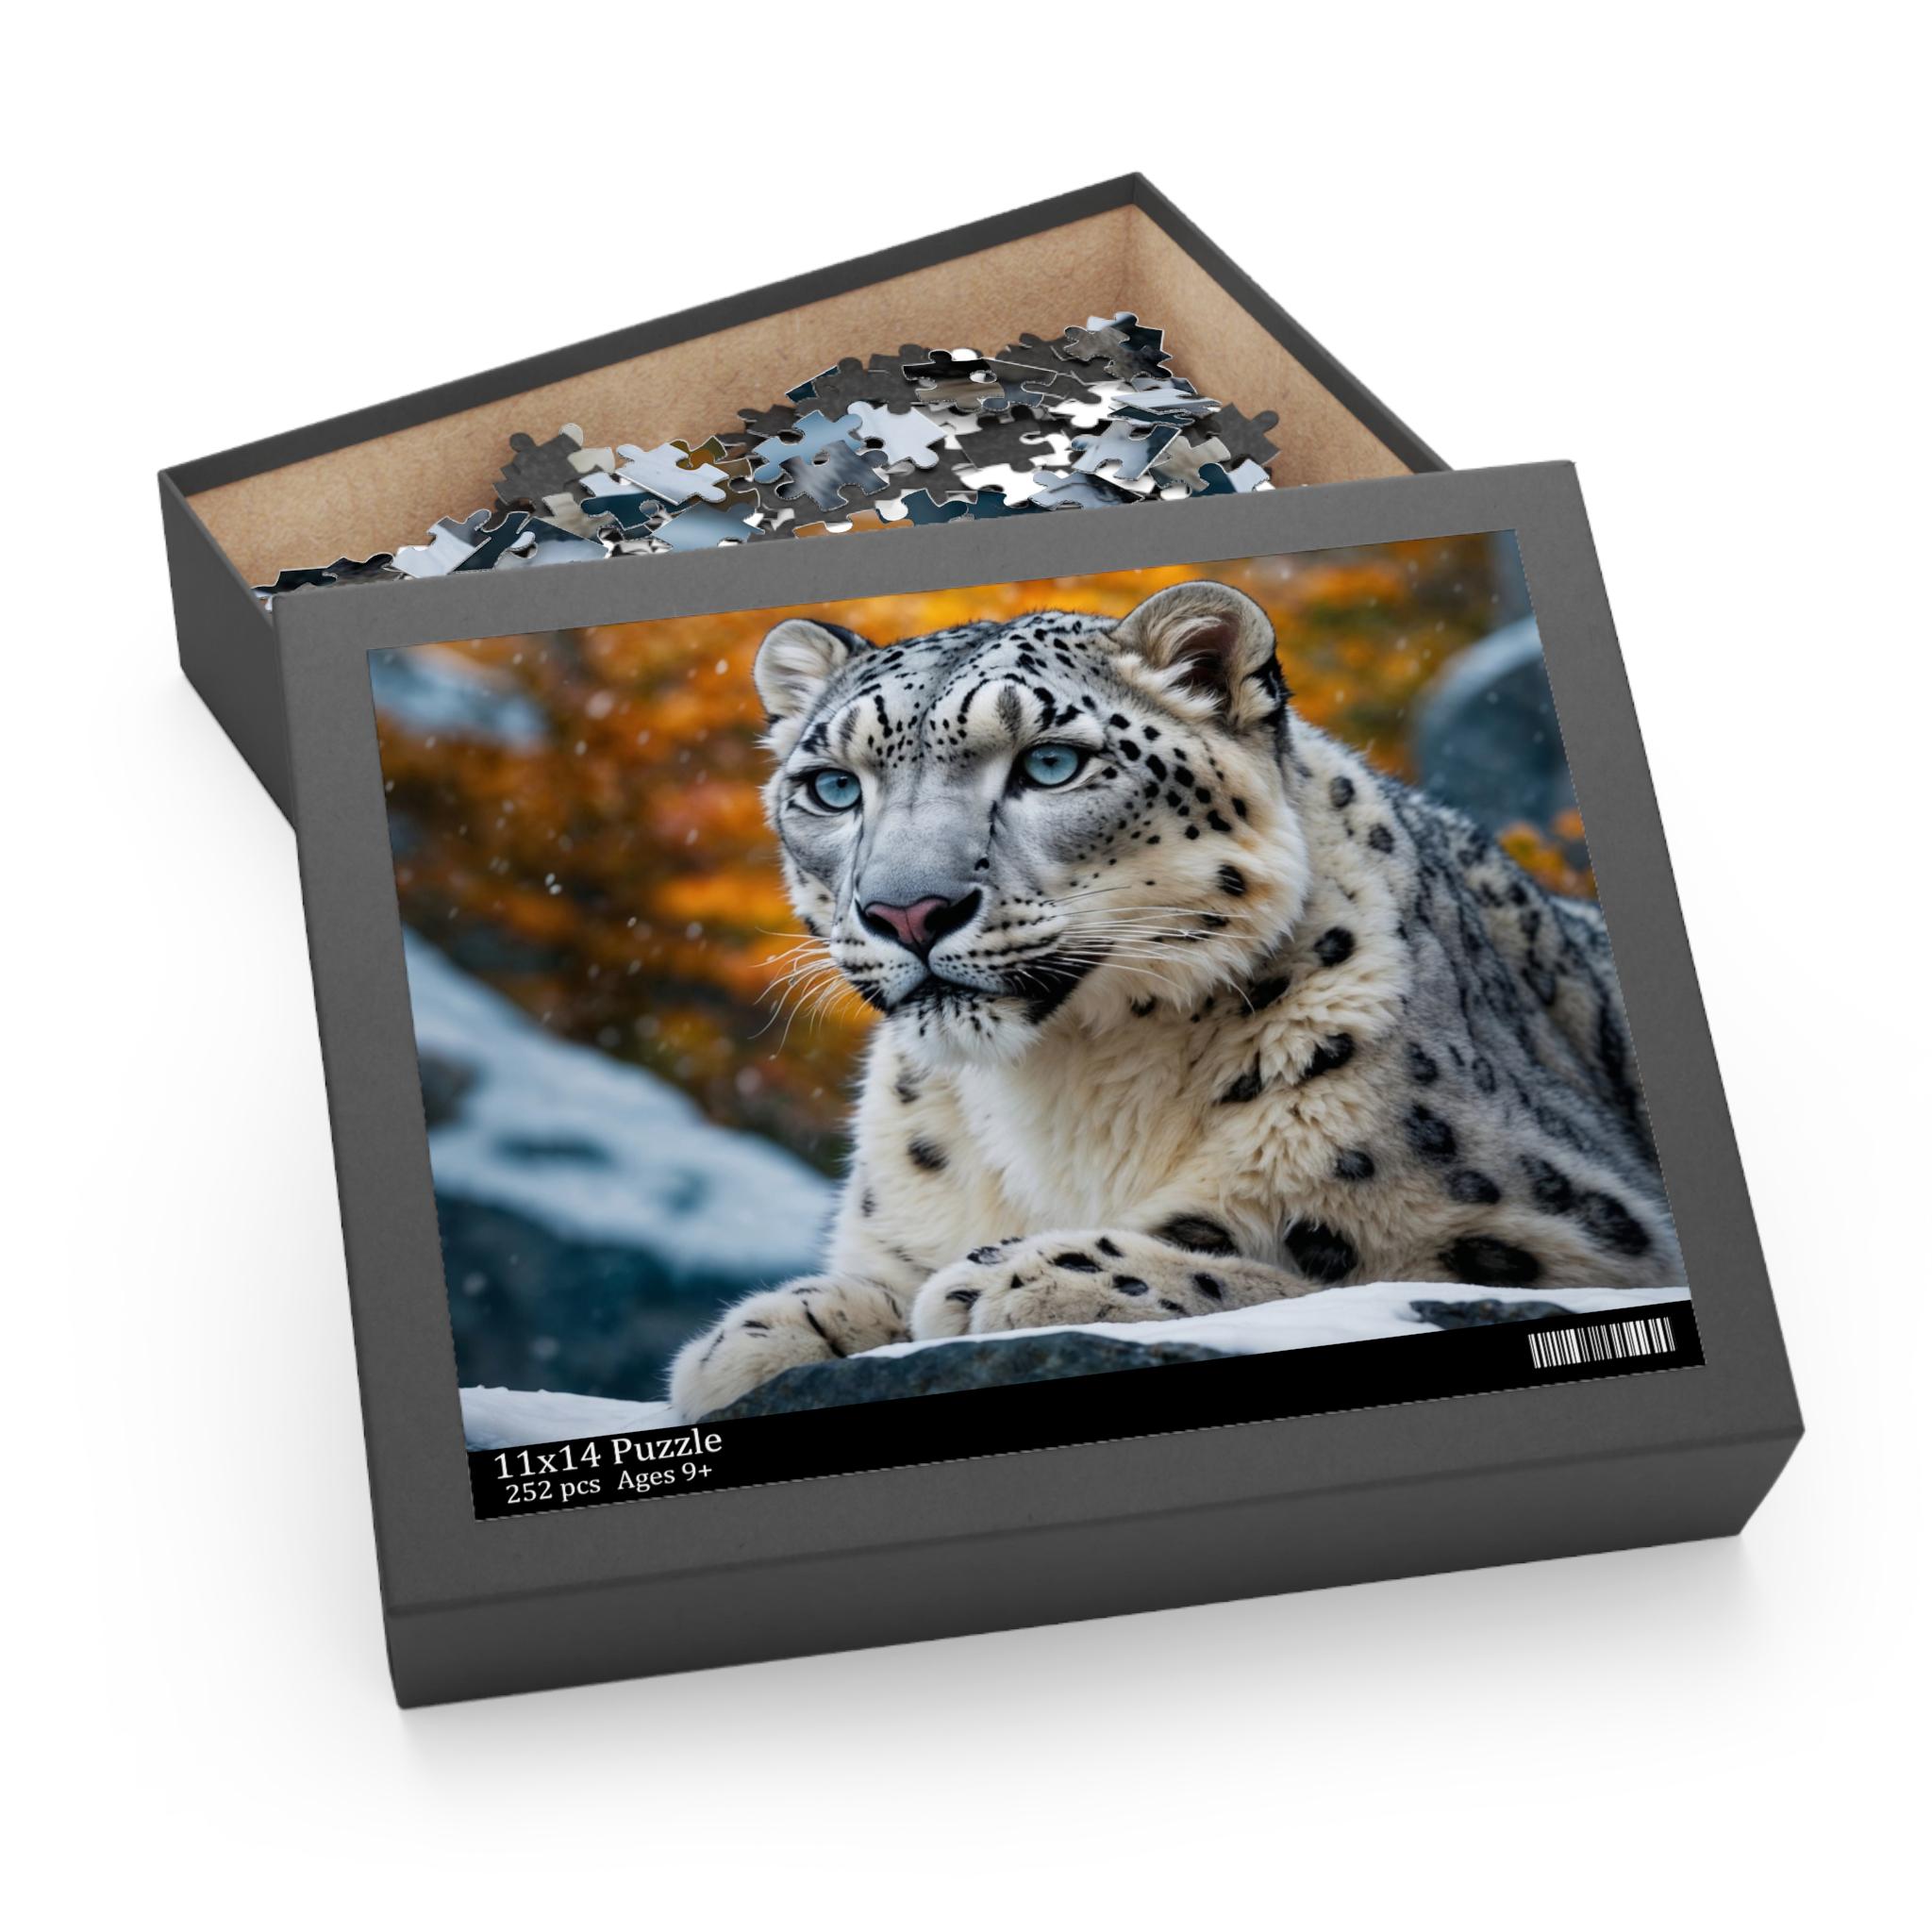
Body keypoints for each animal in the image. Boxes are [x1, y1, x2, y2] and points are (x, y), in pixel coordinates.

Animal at [668, 579, 1683, 1419]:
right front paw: (775, 1326)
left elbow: (1322, 1282)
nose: (905, 909)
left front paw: (1033, 1276)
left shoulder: (1577, 1239)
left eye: (1048, 764)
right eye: (833, 787)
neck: (1060, 1088)